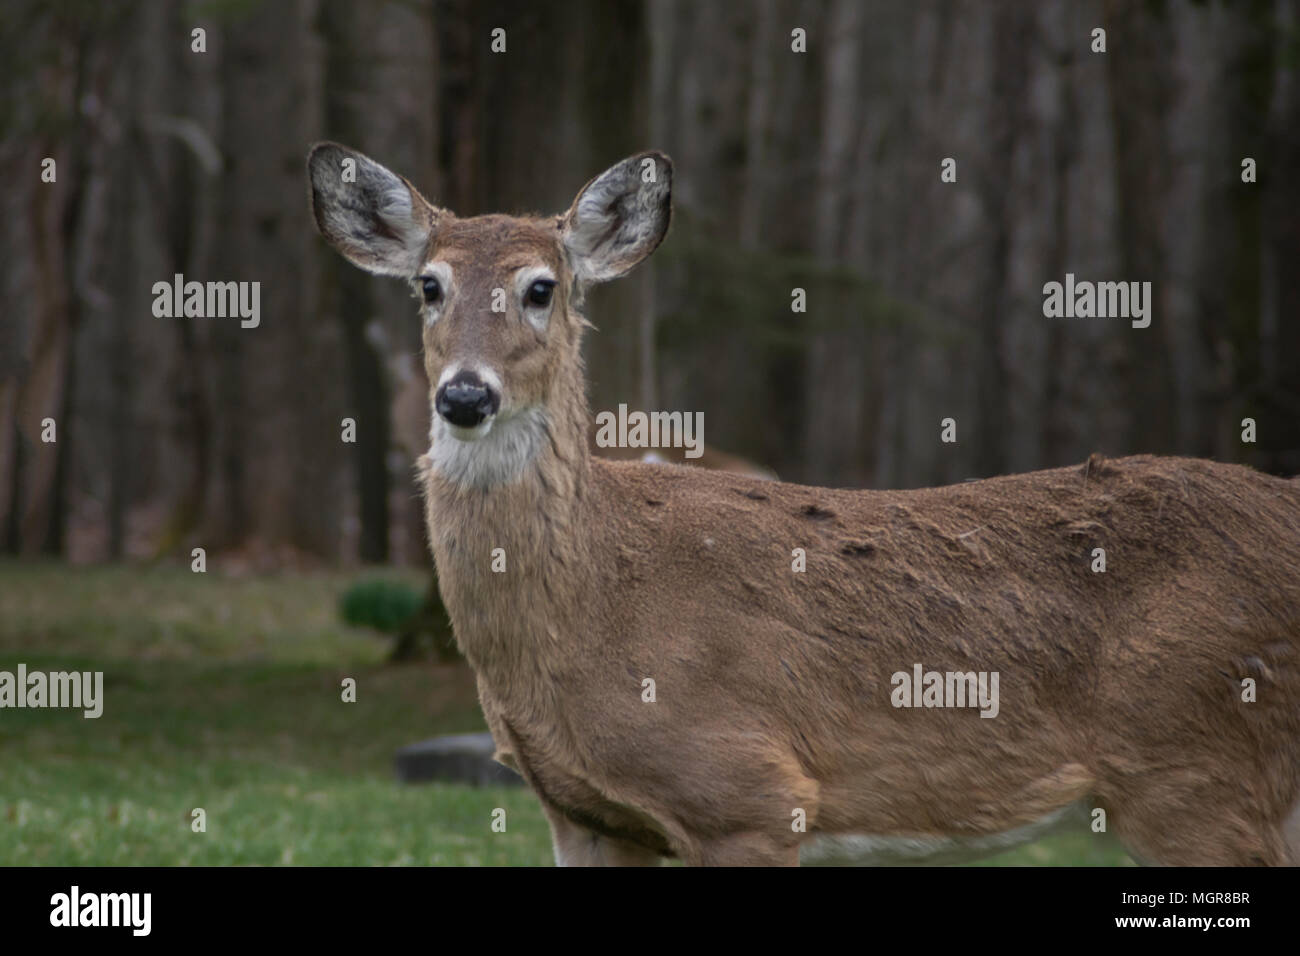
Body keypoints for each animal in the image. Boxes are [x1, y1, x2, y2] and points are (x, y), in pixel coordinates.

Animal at [308, 142, 1300, 866]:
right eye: (428, 285)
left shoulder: (747, 792)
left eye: (541, 288)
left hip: (1198, 770)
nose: (464, 396)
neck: (595, 604)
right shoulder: (584, 816)